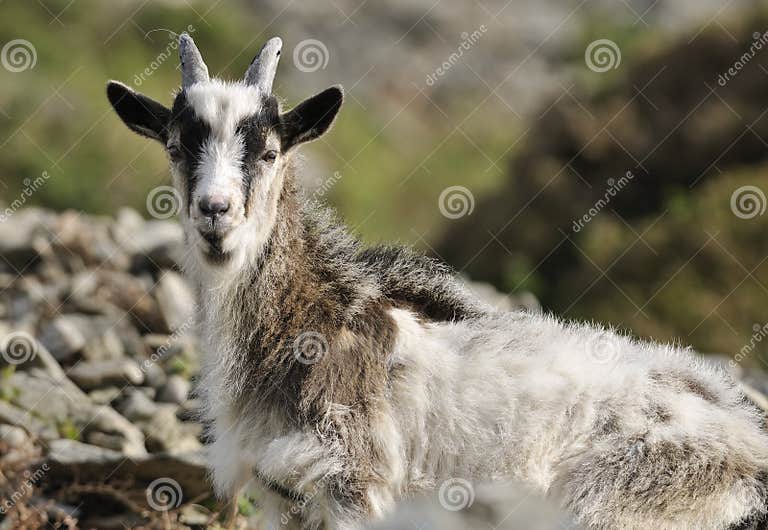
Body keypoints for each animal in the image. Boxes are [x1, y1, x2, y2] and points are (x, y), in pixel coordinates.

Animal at [106, 34, 768, 530]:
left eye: (269, 152)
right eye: (175, 146)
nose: (214, 214)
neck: (311, 319)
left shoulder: (356, 485)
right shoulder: (281, 497)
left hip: (625, 498)